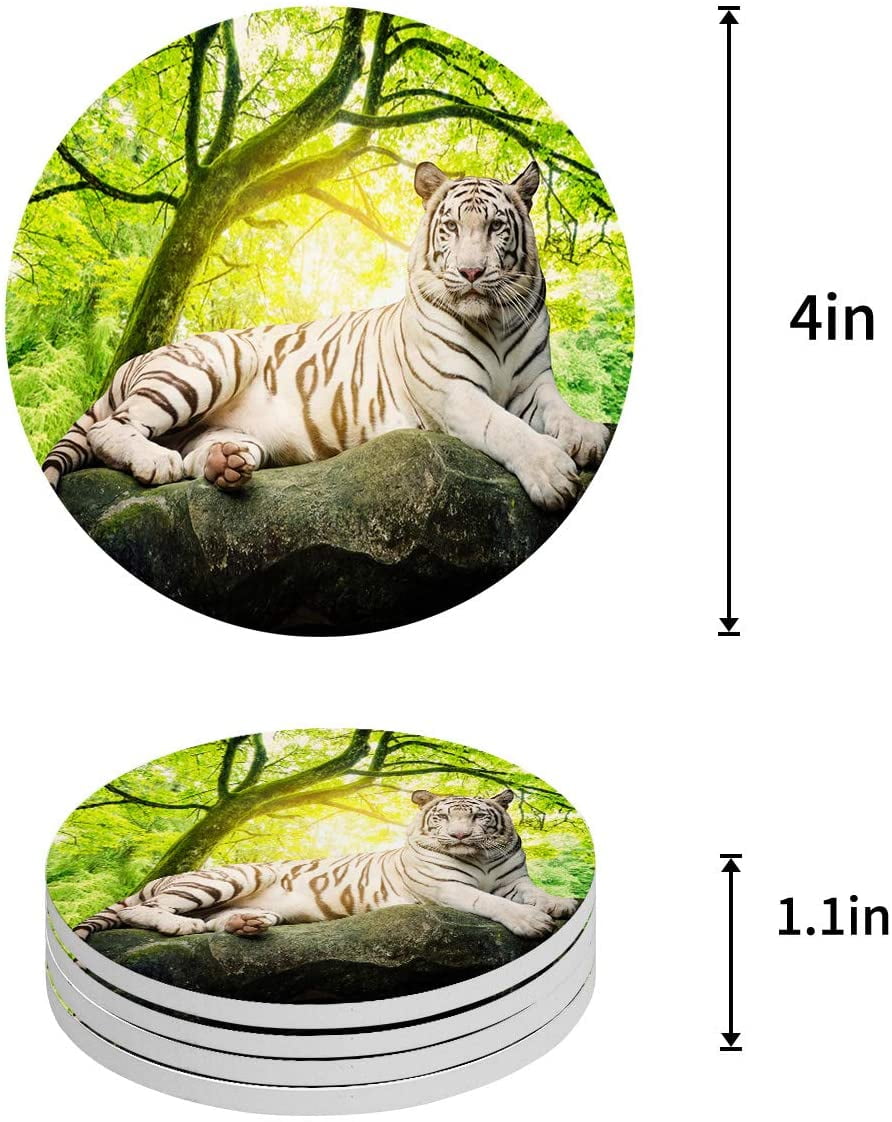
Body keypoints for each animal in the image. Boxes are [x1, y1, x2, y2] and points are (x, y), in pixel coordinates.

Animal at [42, 159, 611, 511]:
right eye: (451, 227)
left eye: (496, 227)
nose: (471, 273)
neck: (492, 317)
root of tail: (132, 362)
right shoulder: (454, 393)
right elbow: (505, 428)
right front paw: (553, 473)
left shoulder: (534, 384)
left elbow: (558, 412)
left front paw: (587, 435)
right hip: (213, 363)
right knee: (110, 429)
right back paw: (155, 462)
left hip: (229, 430)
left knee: (199, 451)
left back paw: (225, 464)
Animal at [72, 789, 581, 942]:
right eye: (443, 818)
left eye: (476, 816)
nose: (457, 836)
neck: (479, 858)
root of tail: (166, 874)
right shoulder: (446, 888)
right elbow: (485, 901)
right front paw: (532, 923)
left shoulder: (513, 880)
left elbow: (535, 893)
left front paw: (562, 904)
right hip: (233, 876)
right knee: (146, 910)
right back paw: (178, 927)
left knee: (216, 921)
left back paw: (246, 924)